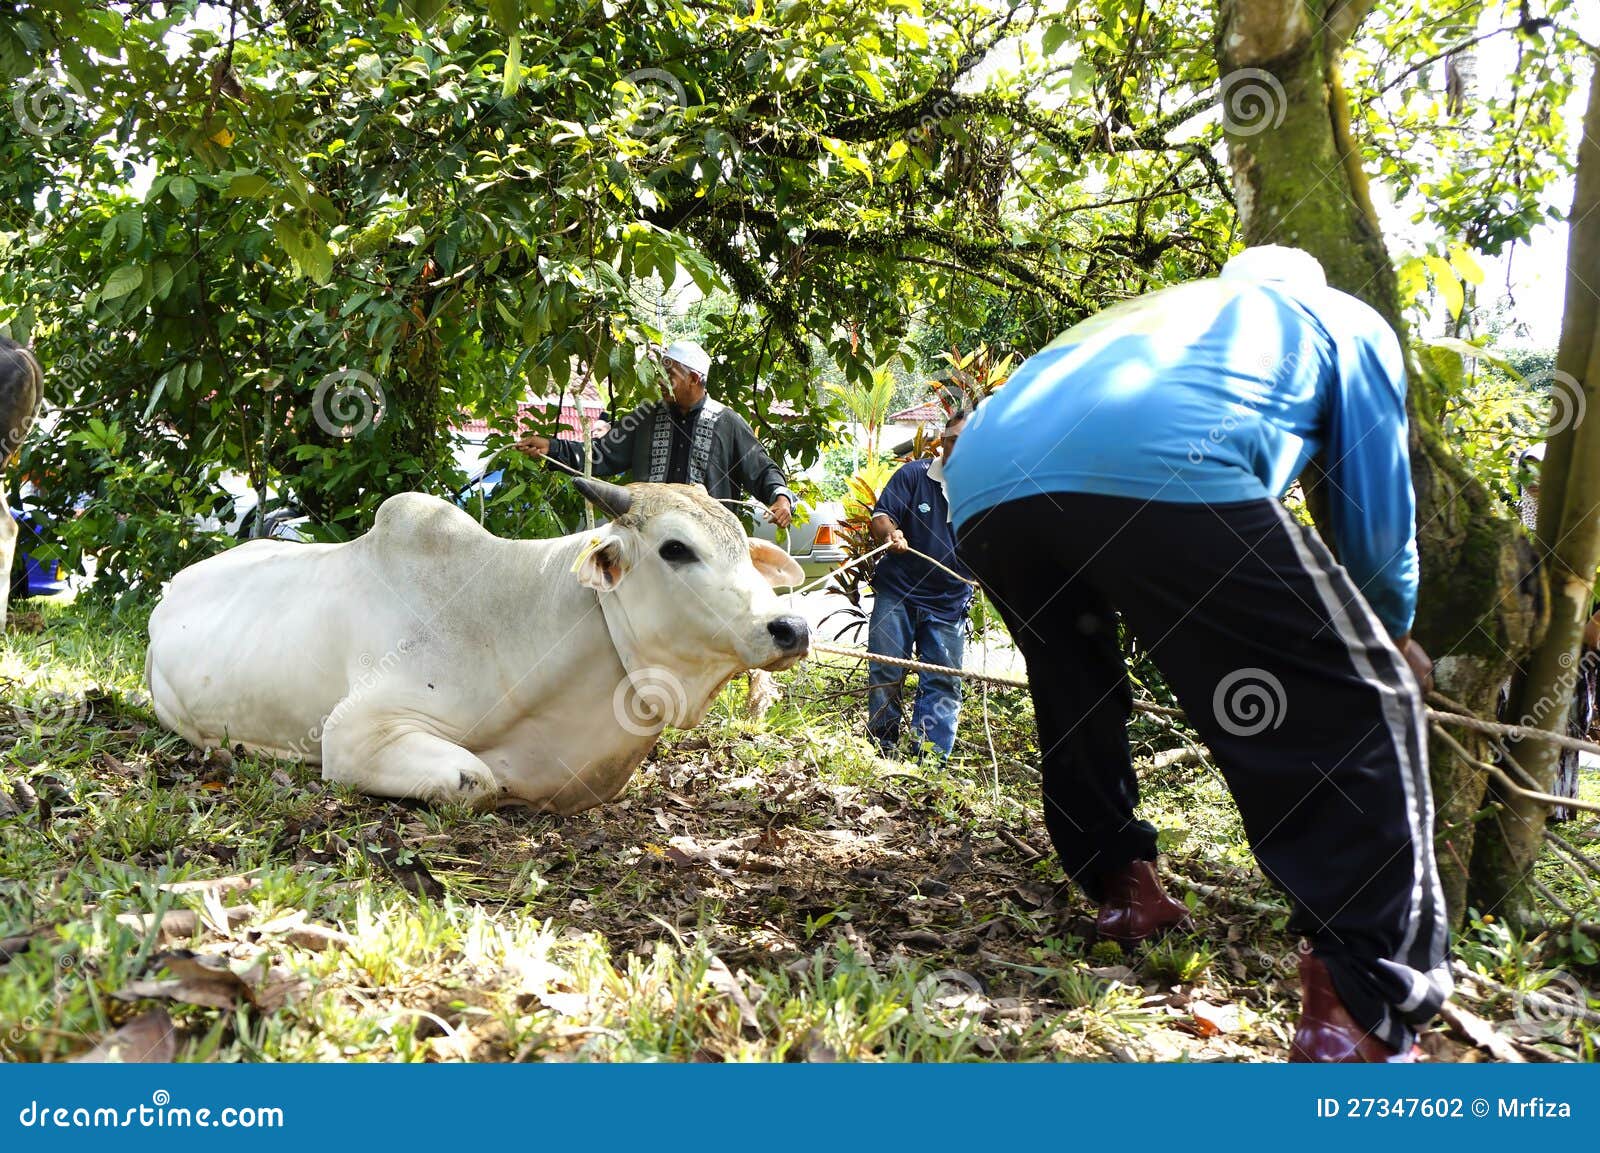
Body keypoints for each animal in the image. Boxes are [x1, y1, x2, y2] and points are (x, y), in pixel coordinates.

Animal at [146, 477, 810, 813]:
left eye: (742, 545)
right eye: (675, 548)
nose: (792, 628)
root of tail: (168, 591)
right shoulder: (355, 730)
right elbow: (479, 782)